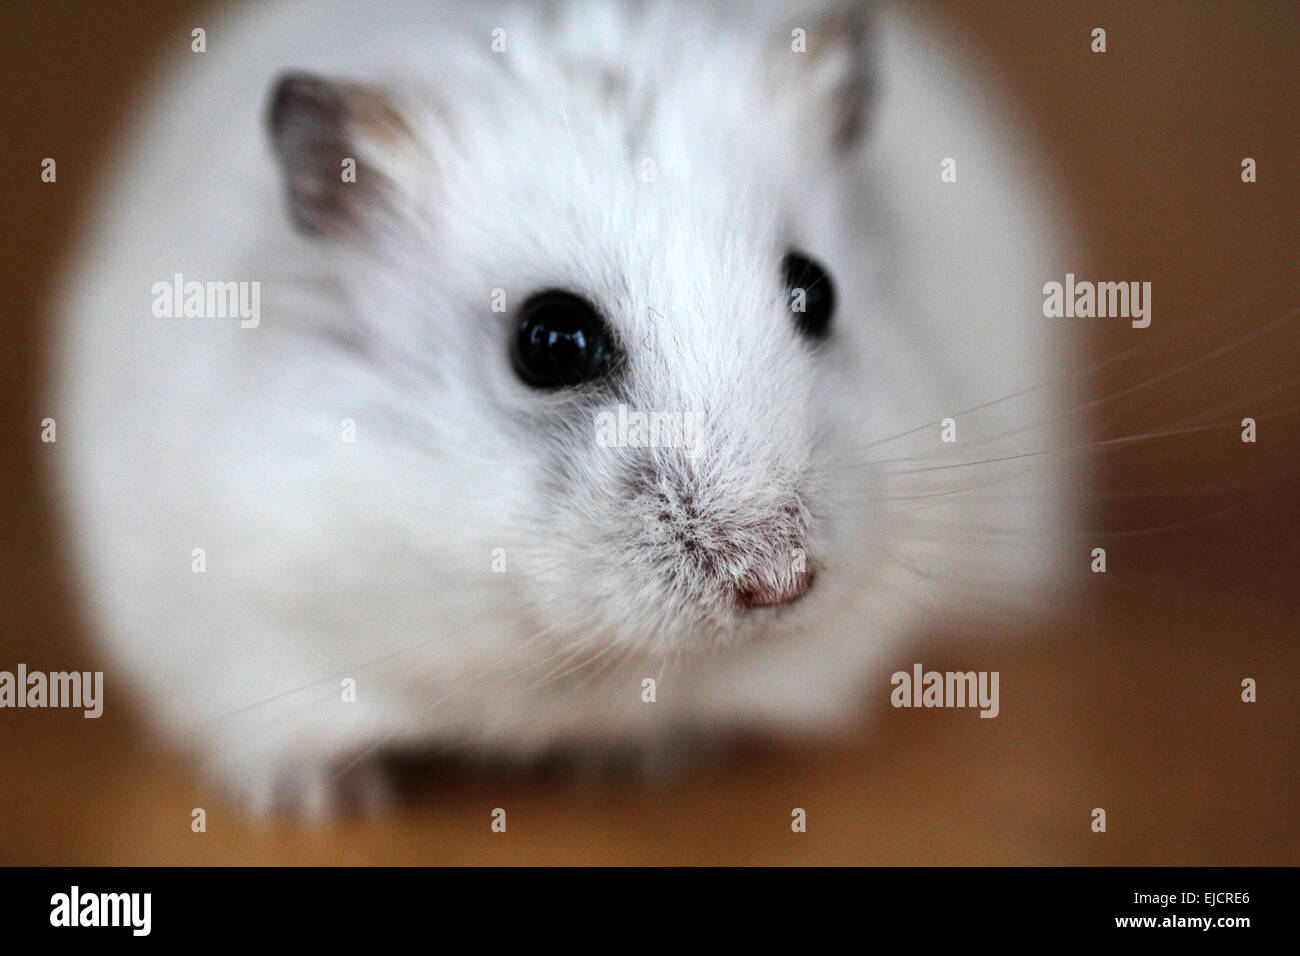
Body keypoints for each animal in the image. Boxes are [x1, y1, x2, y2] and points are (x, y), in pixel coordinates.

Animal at [49, 0, 1079, 817]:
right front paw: (320, 807)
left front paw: (636, 761)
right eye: (548, 342)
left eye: (816, 291)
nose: (780, 583)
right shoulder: (235, 619)